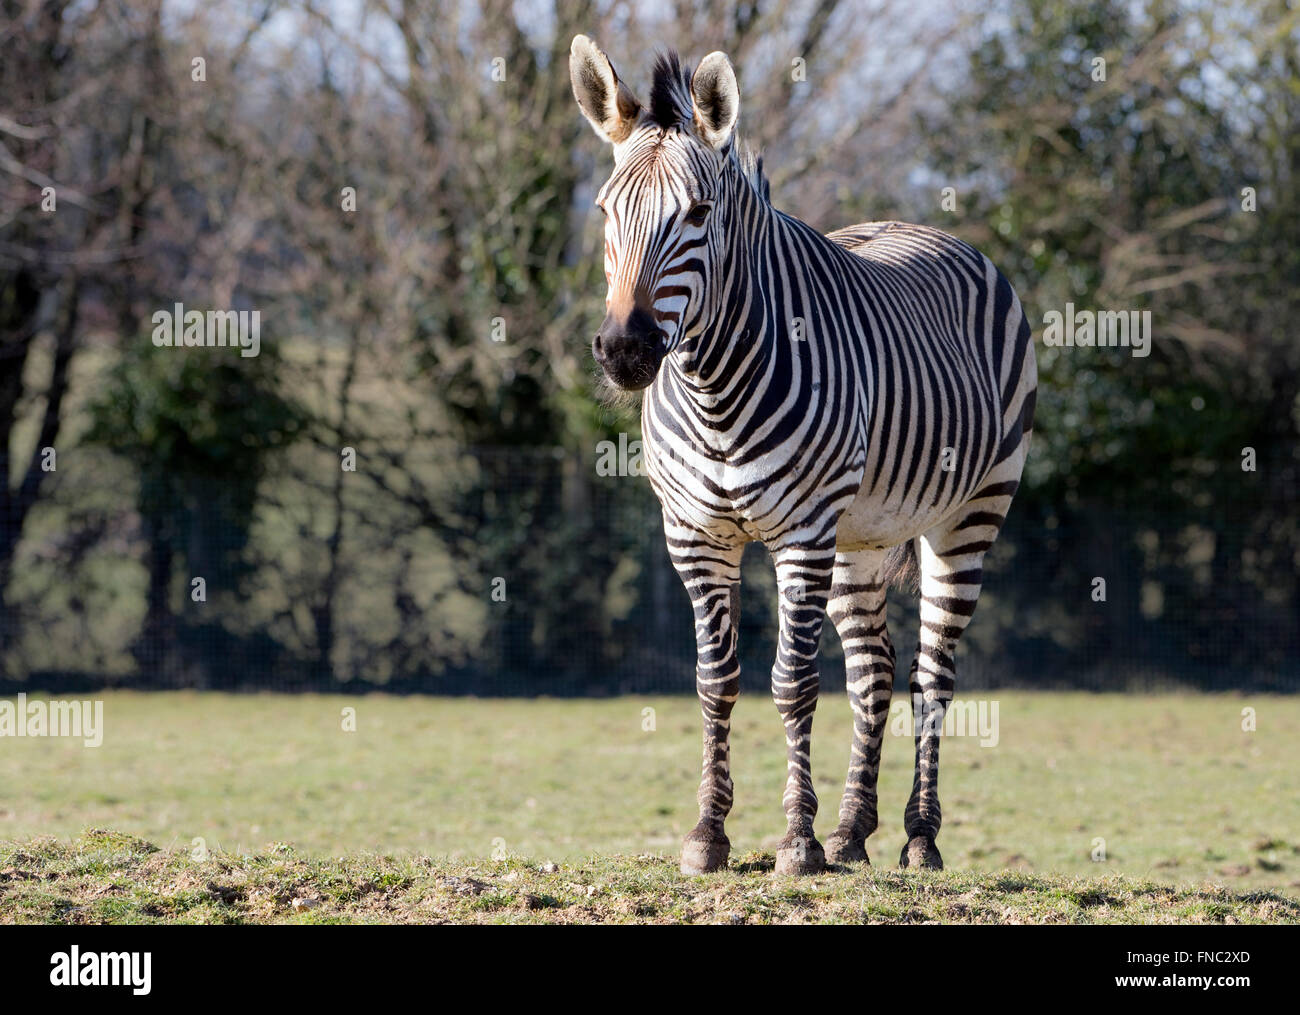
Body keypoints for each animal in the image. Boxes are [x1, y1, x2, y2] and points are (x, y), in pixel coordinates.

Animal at [569, 36, 1036, 875]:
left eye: (698, 213)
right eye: (604, 212)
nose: (624, 350)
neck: (716, 390)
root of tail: (921, 226)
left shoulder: (802, 532)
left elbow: (792, 682)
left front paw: (796, 839)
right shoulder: (696, 535)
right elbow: (715, 680)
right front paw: (709, 833)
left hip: (968, 515)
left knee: (932, 674)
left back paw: (920, 837)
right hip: (862, 534)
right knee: (875, 671)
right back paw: (854, 831)